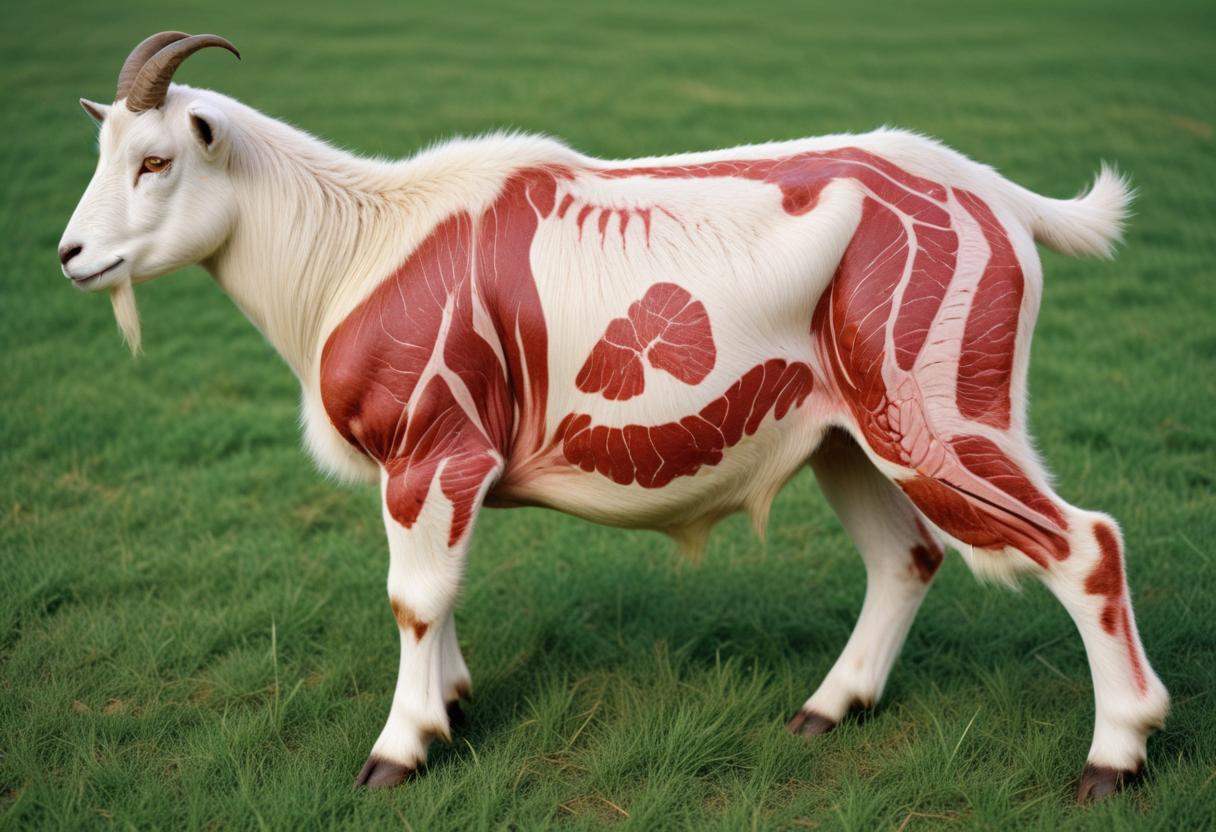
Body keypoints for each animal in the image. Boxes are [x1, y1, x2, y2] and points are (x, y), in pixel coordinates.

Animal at [59, 32, 1168, 800]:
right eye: (105, 152)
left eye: (155, 161)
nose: (71, 254)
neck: (355, 244)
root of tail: (994, 195)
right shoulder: (435, 470)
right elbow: (442, 596)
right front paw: (452, 706)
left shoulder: (434, 447)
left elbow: (414, 597)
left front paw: (399, 748)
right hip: (845, 433)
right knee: (907, 556)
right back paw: (829, 706)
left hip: (936, 412)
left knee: (1086, 545)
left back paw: (1115, 754)